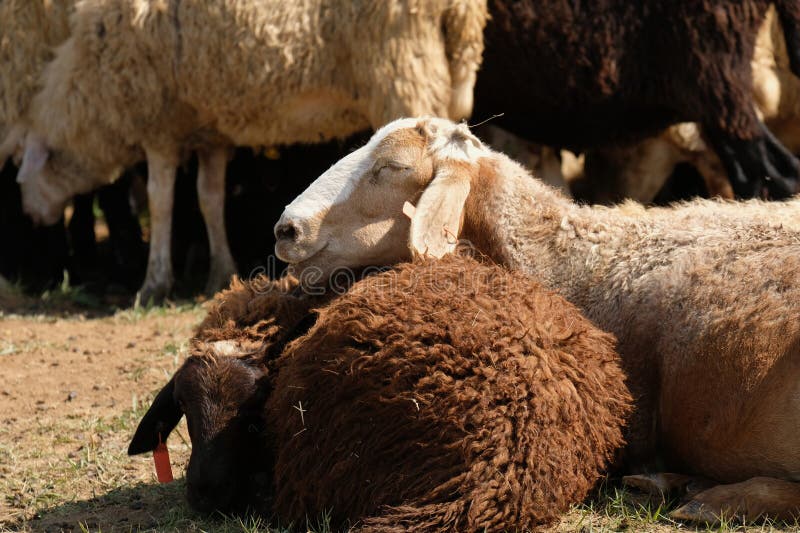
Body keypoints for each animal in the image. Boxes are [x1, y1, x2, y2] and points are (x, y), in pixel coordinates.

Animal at [17, 0, 487, 304]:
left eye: (28, 175)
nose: (32, 217)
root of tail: (463, 14)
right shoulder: (210, 134)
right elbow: (208, 198)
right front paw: (218, 271)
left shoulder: (161, 125)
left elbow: (161, 202)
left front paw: (154, 283)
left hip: (402, 67)